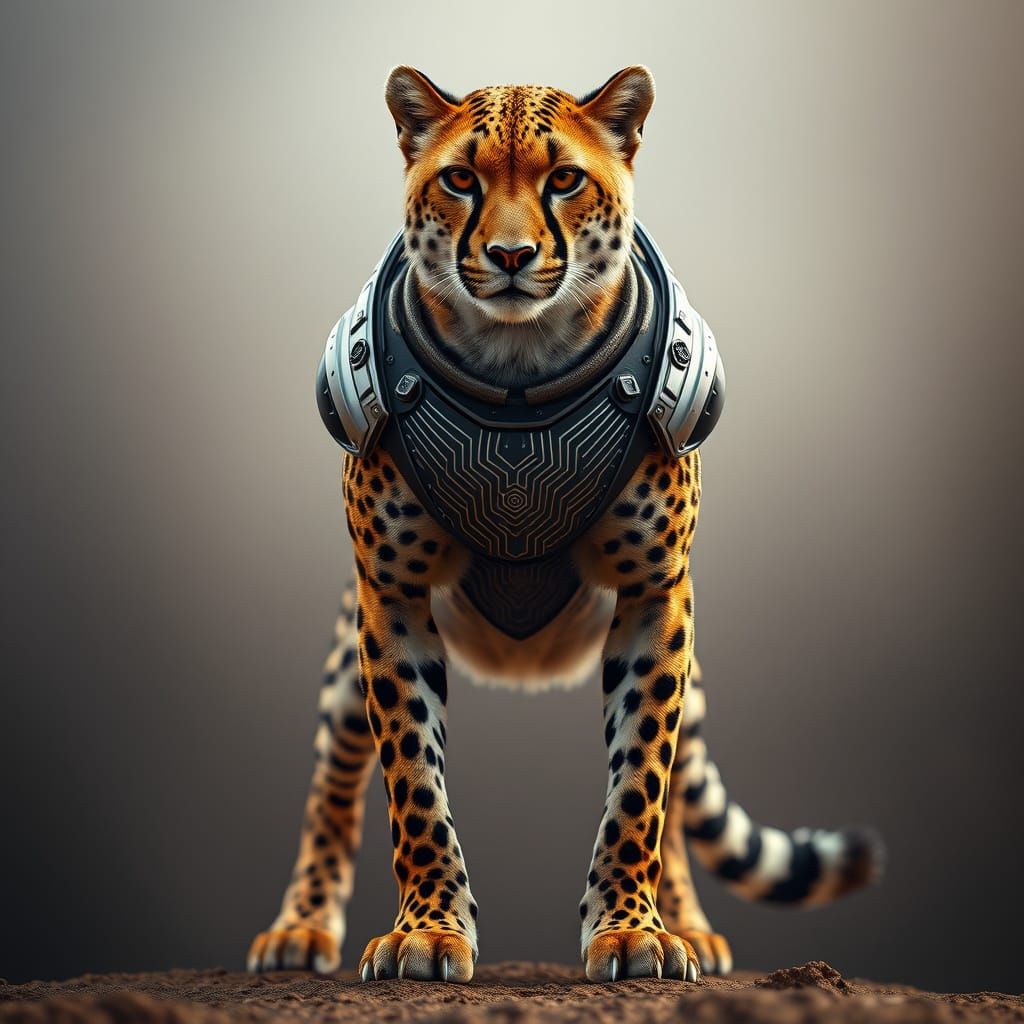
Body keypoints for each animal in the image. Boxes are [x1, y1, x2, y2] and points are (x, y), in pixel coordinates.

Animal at [246, 65, 882, 985]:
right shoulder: (391, 601)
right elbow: (413, 783)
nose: (511, 257)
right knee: (331, 788)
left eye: (565, 180)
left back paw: (689, 927)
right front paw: (427, 932)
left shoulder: (655, 599)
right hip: (341, 674)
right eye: (461, 179)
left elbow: (641, 785)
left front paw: (634, 931)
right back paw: (299, 929)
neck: (519, 366)